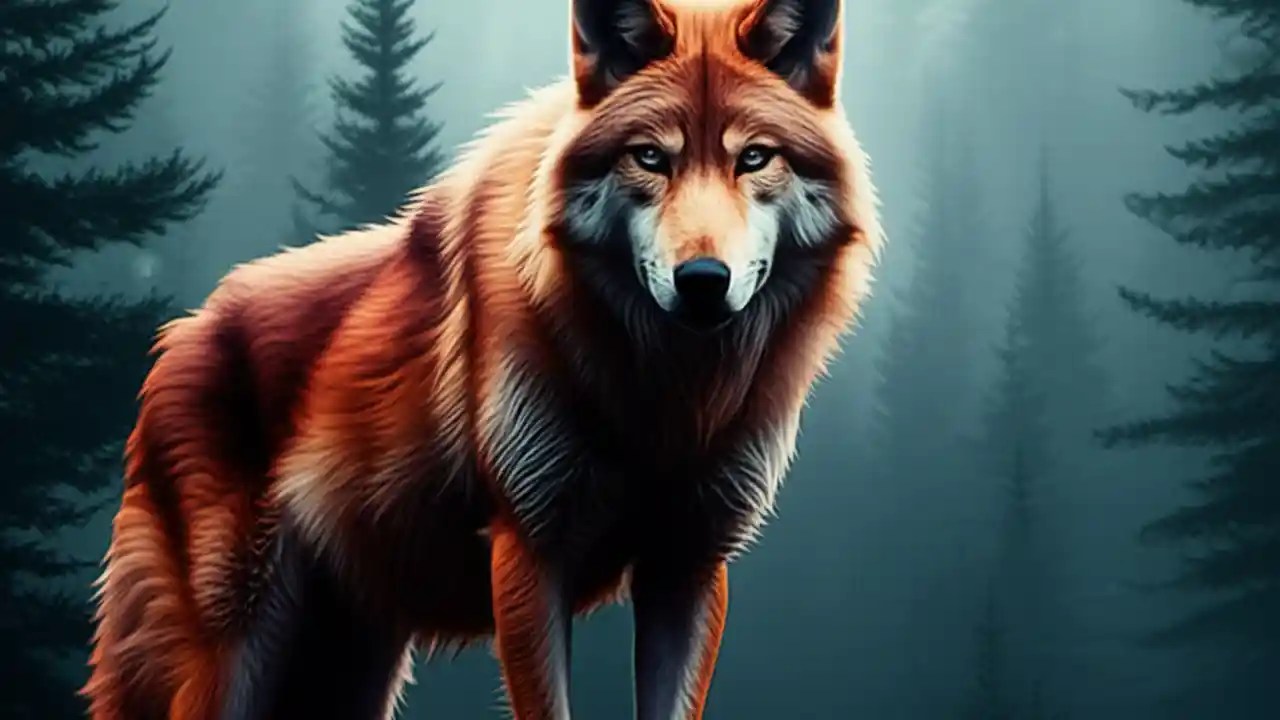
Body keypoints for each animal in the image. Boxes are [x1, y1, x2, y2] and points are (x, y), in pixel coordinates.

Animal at [83, 0, 882, 717]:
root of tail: (175, 340)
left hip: (353, 668)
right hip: (237, 658)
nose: (704, 281)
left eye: (755, 158)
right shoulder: (531, 552)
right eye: (651, 157)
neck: (661, 397)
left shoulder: (686, 567)